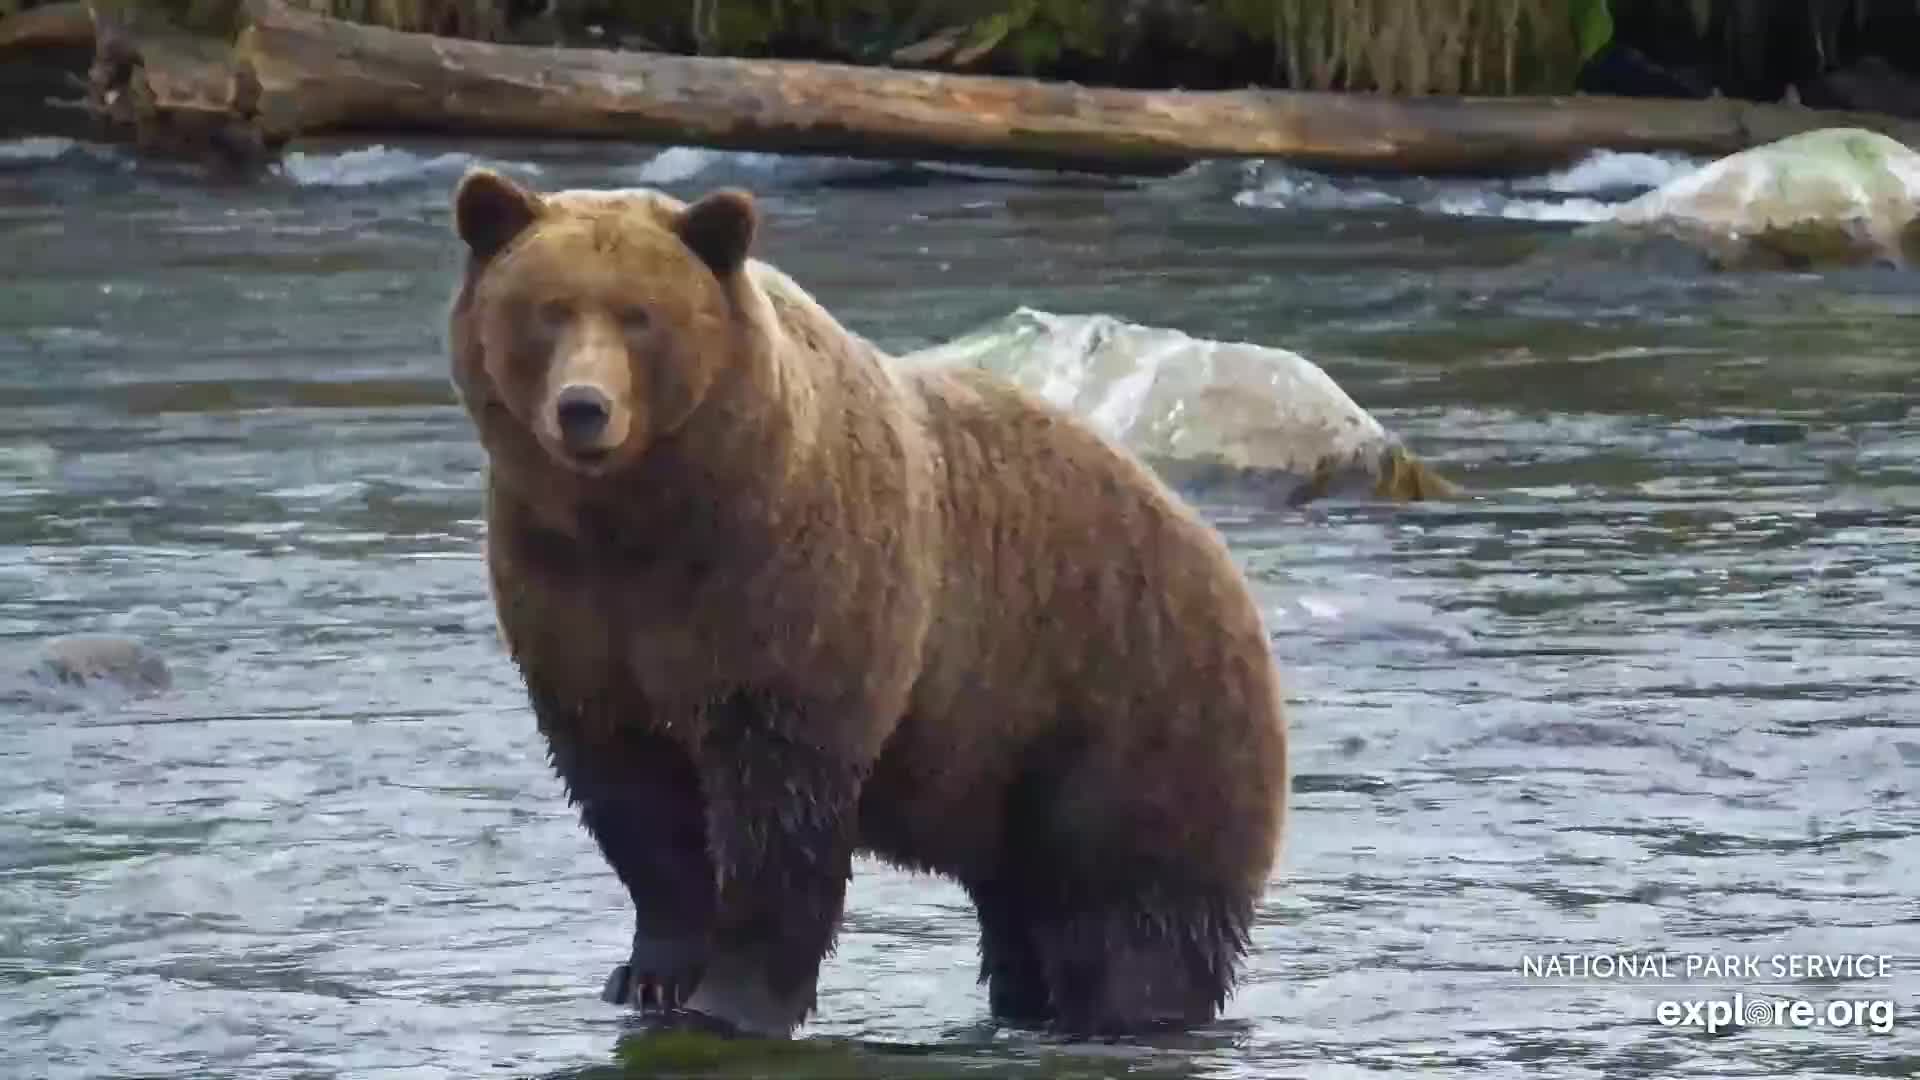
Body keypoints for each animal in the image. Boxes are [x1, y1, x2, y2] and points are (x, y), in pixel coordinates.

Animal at [445, 167, 1290, 1040]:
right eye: (549, 310)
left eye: (639, 316)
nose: (584, 407)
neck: (644, 518)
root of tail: (1224, 563)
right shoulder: (570, 606)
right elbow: (631, 799)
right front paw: (651, 976)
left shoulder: (786, 590)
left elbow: (778, 809)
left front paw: (734, 998)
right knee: (1025, 914)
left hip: (1128, 698)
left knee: (1134, 905)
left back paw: (1128, 1009)